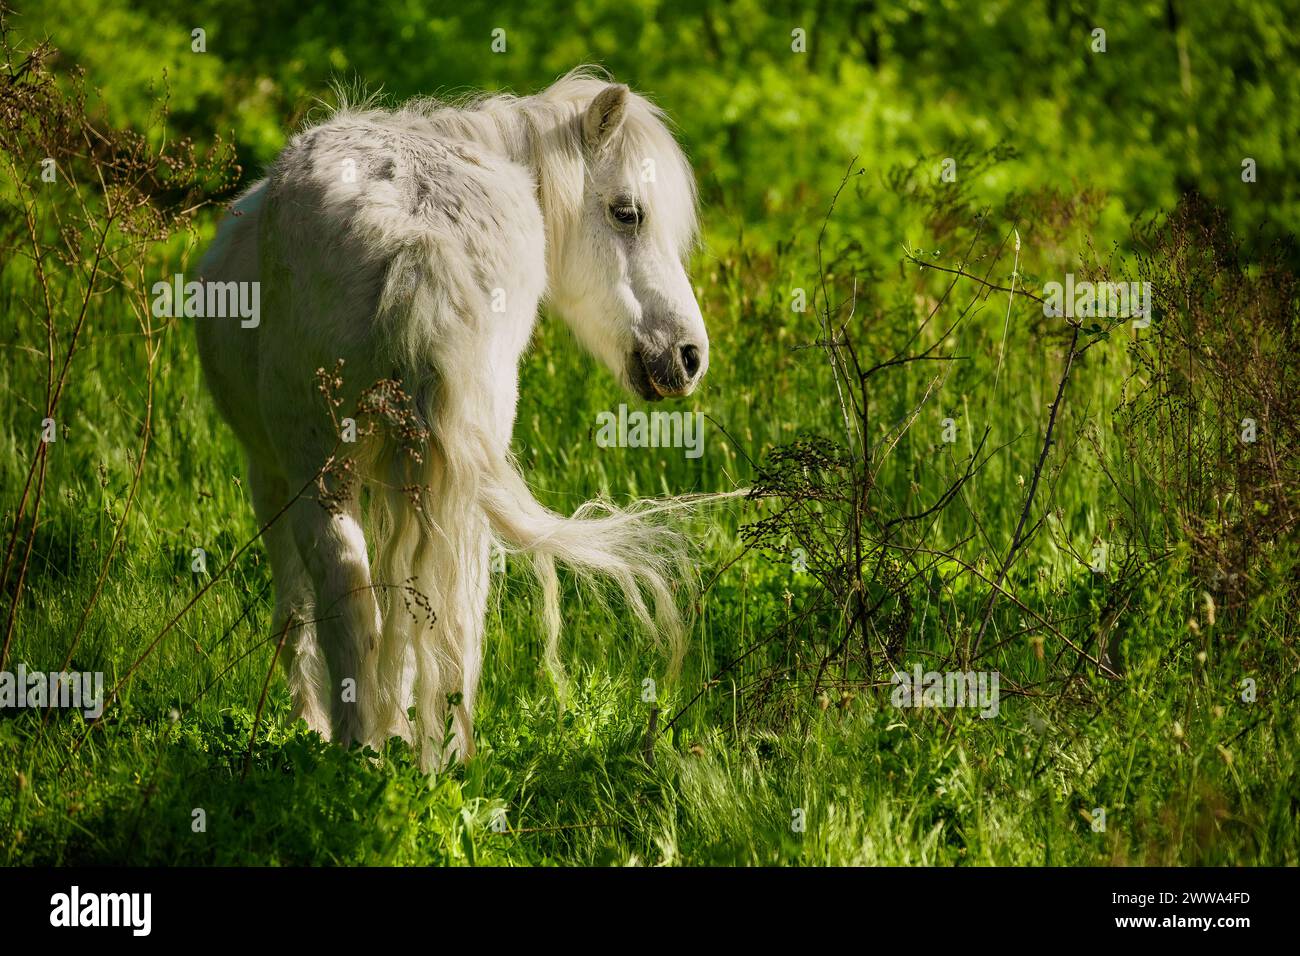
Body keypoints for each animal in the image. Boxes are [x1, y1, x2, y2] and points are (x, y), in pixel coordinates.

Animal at [195, 69, 709, 768]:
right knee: (445, 604)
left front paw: (311, 723)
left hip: (319, 474)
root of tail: (417, 237)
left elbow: (299, 612)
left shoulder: (270, 474)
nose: (689, 355)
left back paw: (353, 750)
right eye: (627, 212)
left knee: (347, 597)